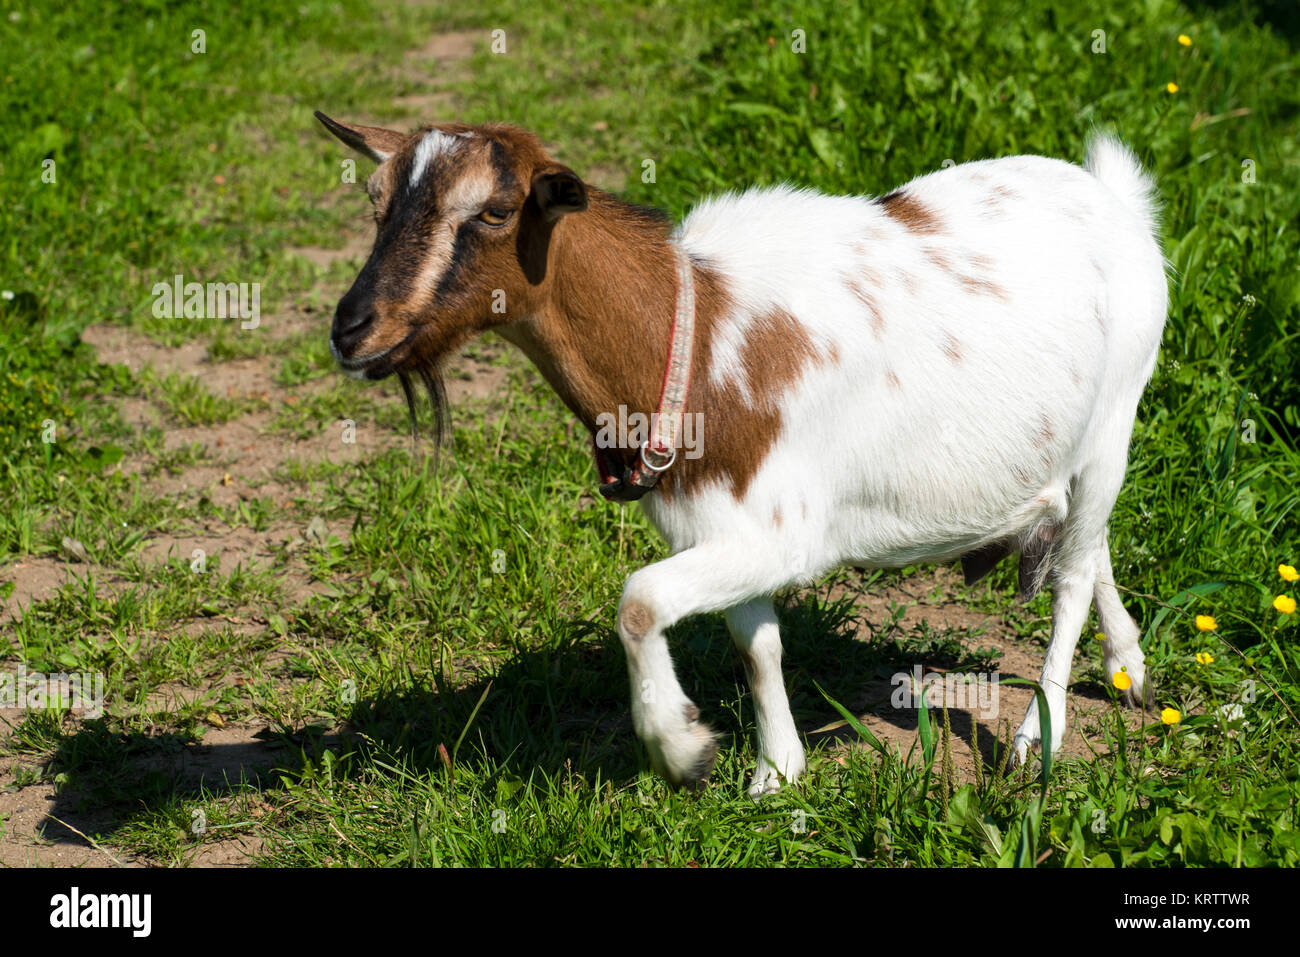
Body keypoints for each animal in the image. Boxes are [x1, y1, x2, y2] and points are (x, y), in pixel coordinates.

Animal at [315, 111, 1167, 797]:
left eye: (494, 211)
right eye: (376, 202)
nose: (353, 328)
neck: (696, 335)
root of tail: (1112, 197)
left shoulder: (784, 534)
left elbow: (638, 601)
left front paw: (681, 748)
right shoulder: (722, 526)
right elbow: (755, 644)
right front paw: (775, 773)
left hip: (1118, 416)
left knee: (1072, 576)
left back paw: (1035, 737)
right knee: (1088, 545)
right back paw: (1127, 667)